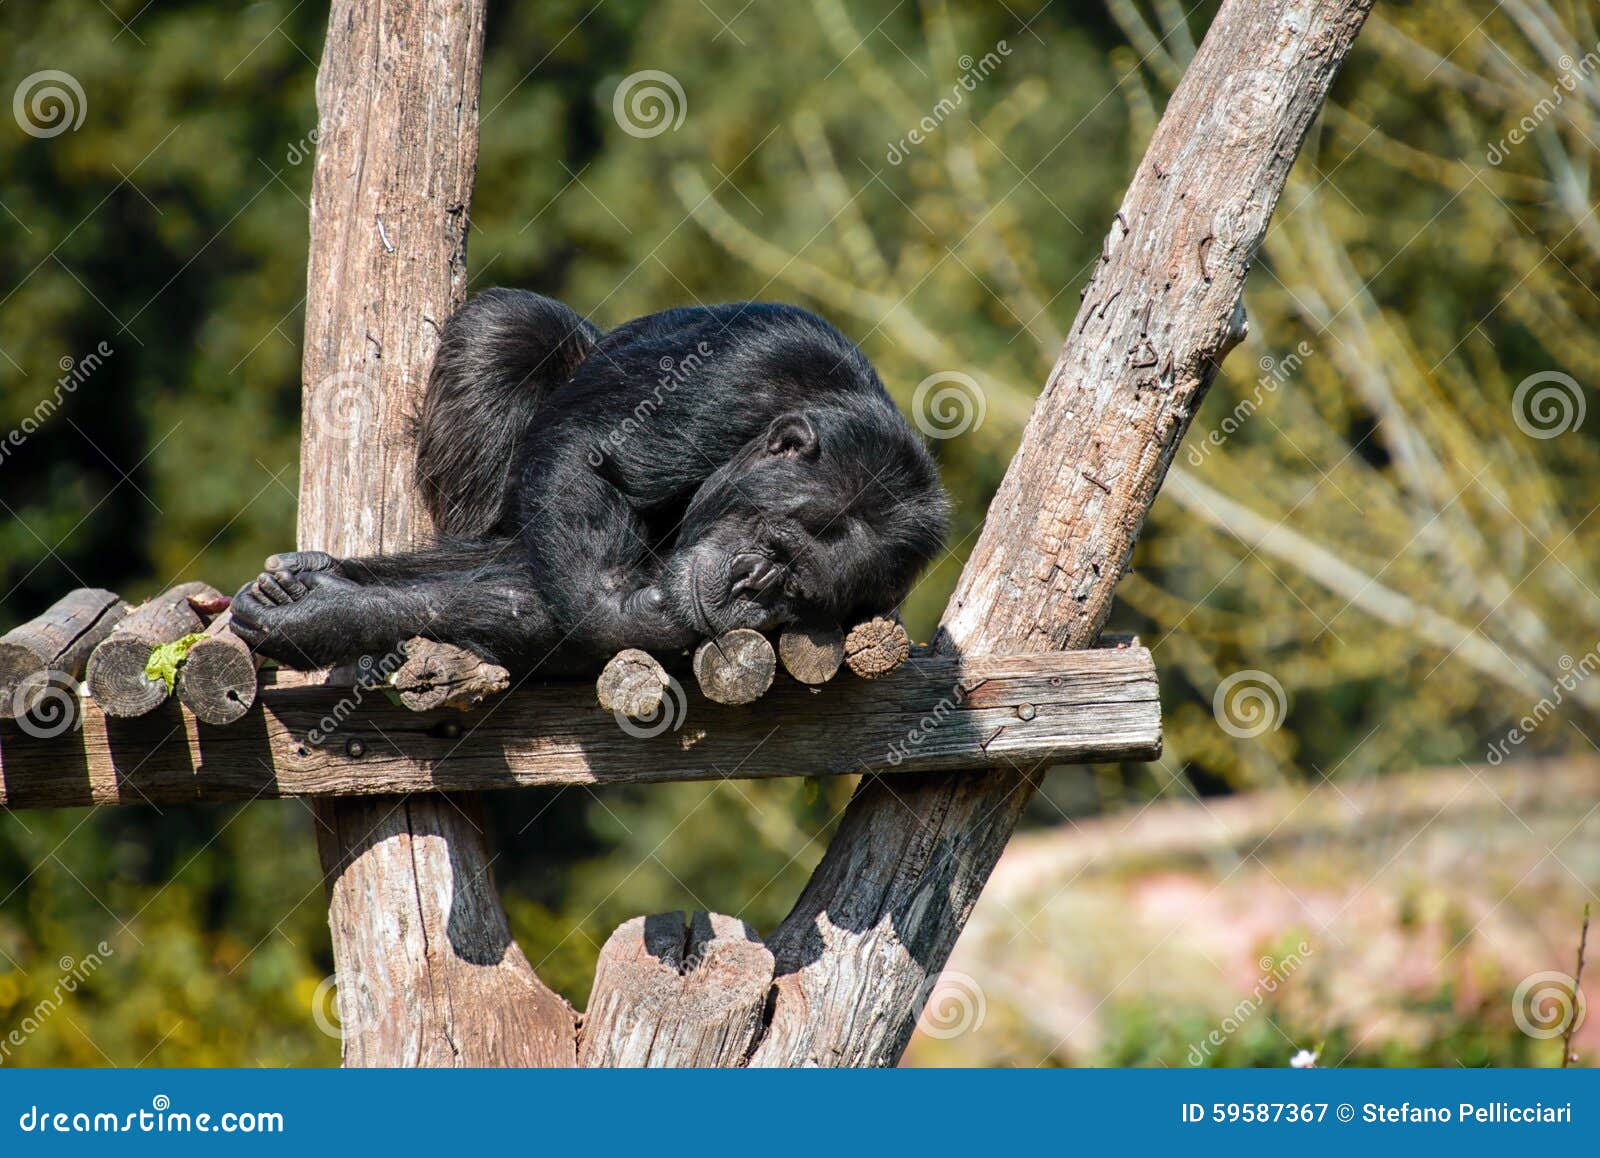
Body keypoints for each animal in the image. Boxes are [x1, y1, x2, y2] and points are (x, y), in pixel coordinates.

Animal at [230, 290, 948, 676]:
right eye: (777, 541)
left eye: (799, 590)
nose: (756, 579)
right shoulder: (737, 376)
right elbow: (589, 459)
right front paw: (630, 611)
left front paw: (328, 612)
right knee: (509, 329)